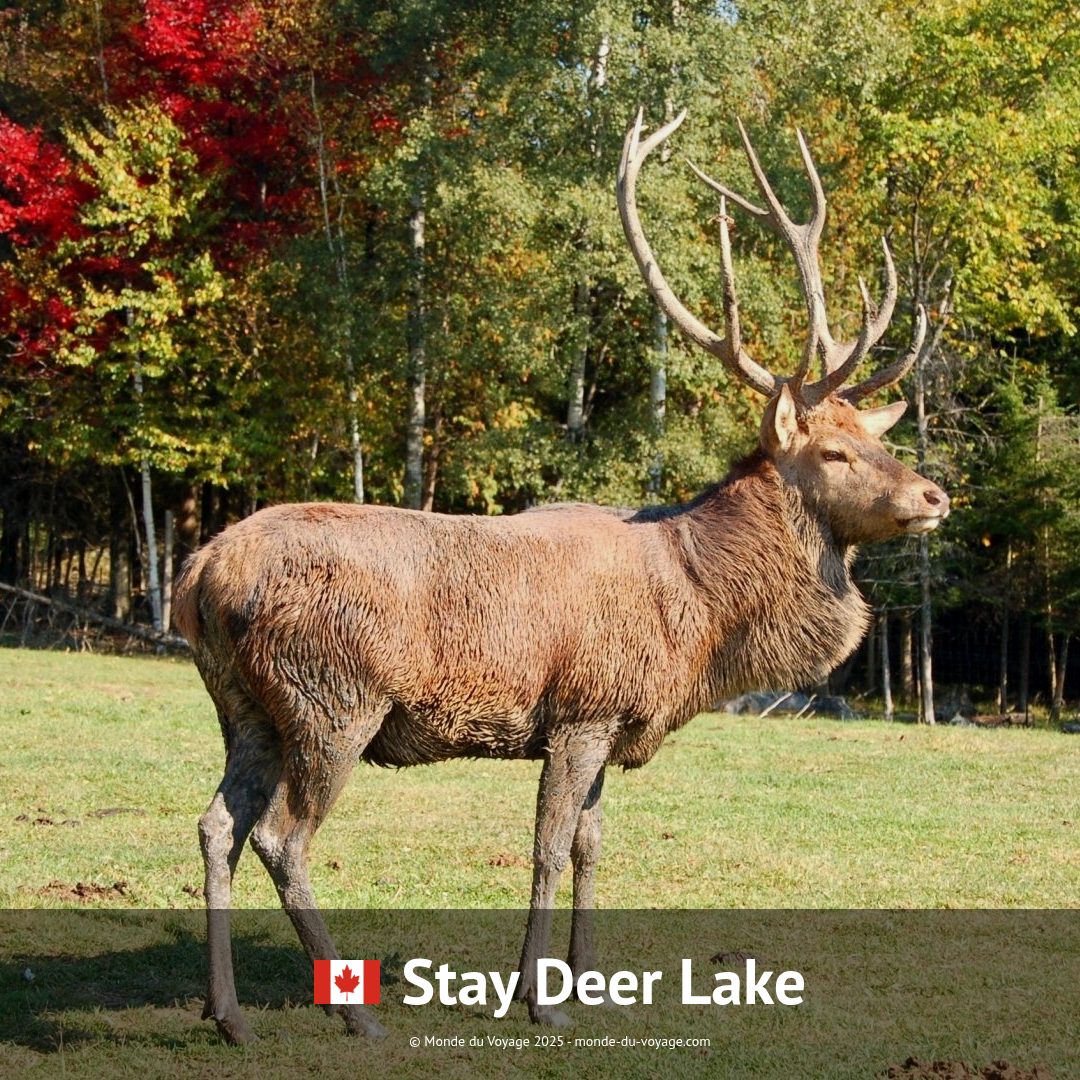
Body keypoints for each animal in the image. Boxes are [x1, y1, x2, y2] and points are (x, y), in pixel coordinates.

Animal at [173, 108, 949, 1044]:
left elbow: (590, 843)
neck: (696, 614)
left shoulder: (615, 718)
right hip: (333, 697)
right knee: (281, 835)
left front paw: (587, 981)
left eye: (875, 437)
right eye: (834, 452)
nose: (934, 495)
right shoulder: (582, 710)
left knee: (217, 823)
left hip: (245, 705)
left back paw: (227, 1012)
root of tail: (198, 574)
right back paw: (355, 1013)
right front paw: (538, 997)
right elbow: (545, 845)